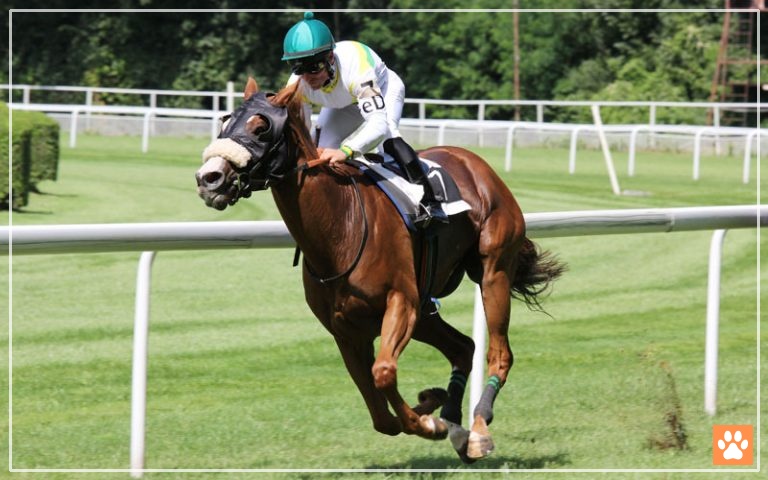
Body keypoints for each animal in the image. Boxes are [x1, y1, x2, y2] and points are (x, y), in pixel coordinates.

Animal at [195, 78, 565, 463]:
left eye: (261, 127)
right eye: (225, 122)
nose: (209, 178)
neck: (340, 227)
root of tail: (476, 163)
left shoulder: (400, 302)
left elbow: (384, 373)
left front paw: (429, 422)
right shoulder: (346, 330)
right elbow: (379, 413)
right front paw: (432, 407)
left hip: (492, 272)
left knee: (499, 352)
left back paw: (477, 429)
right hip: (426, 309)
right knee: (463, 347)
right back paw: (455, 423)